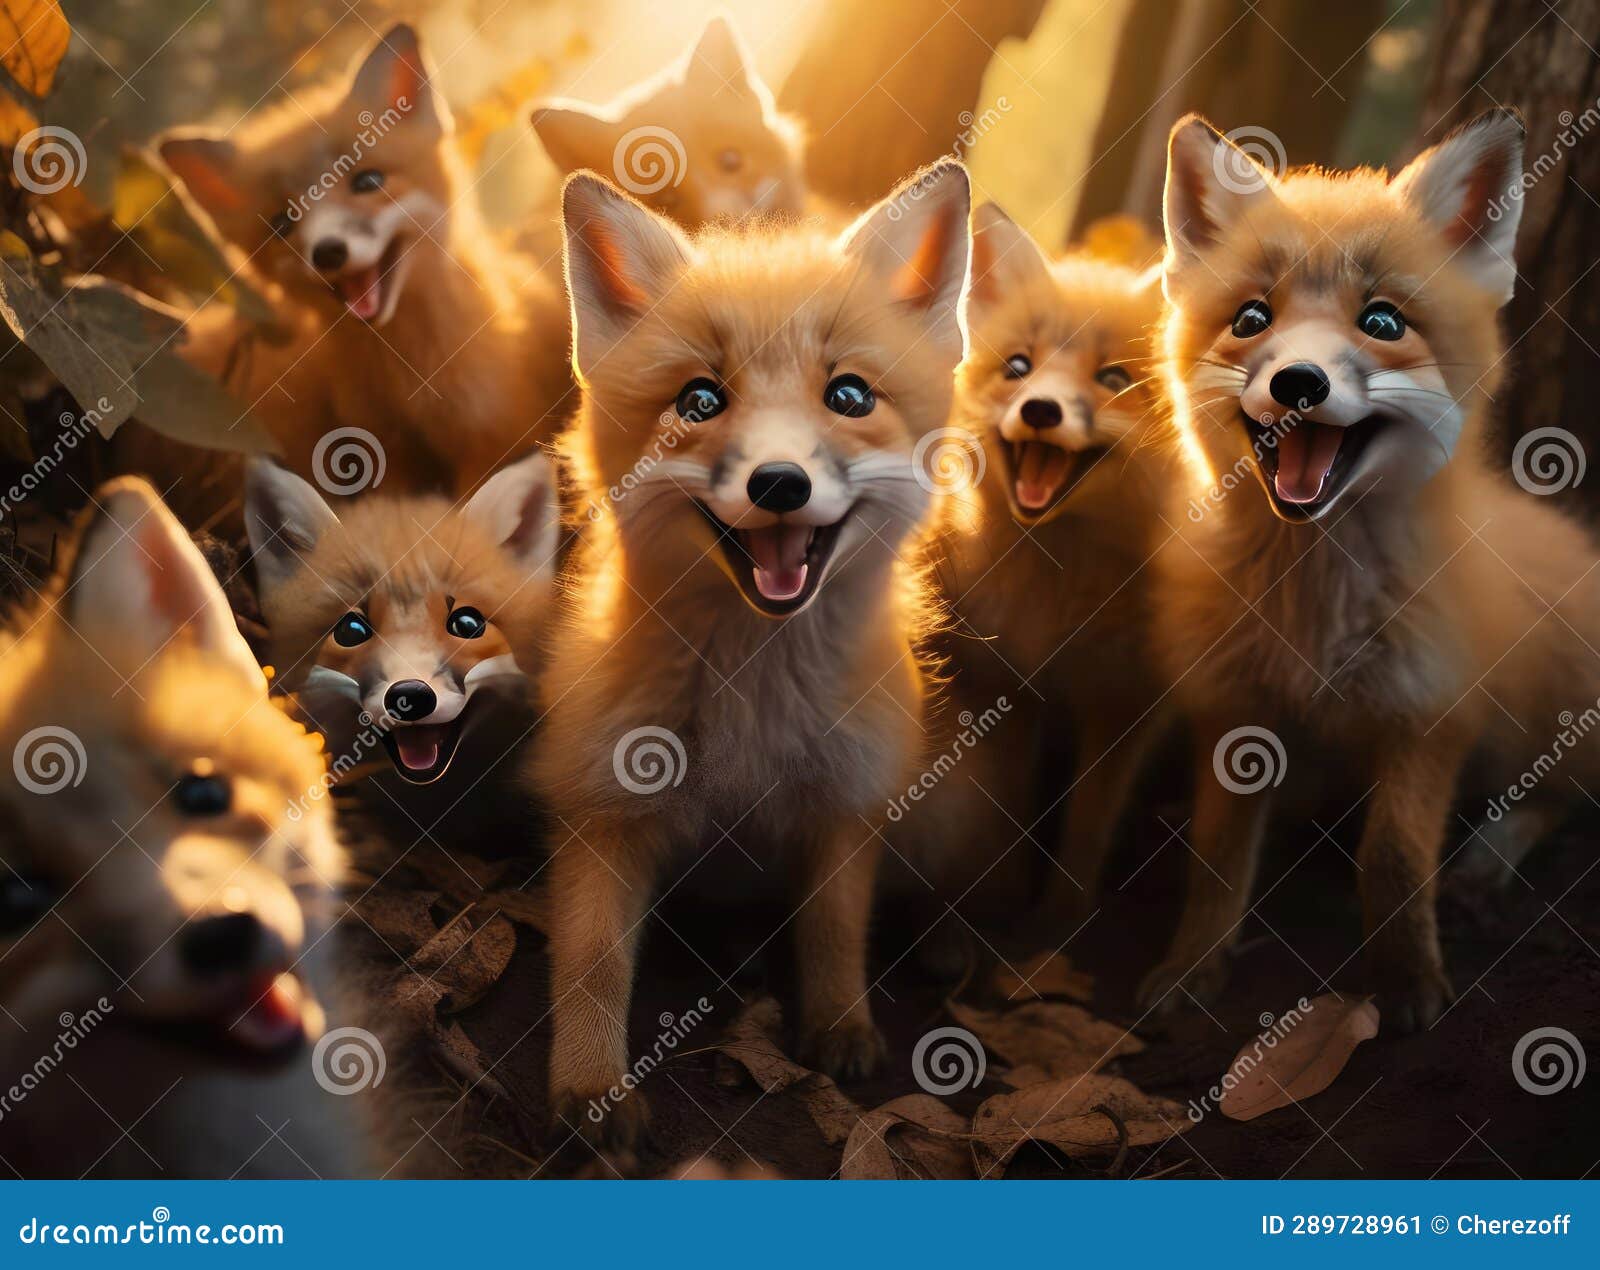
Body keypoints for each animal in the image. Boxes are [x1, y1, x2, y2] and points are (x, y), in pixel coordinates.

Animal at [157, 23, 573, 498]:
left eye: (368, 181)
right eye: (282, 221)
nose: (328, 251)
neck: (411, 385)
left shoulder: (492, 440)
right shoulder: (376, 456)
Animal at [530, 161, 972, 1160]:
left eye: (849, 397)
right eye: (699, 401)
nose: (779, 483)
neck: (754, 700)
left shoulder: (848, 802)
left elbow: (835, 930)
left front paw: (841, 1028)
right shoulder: (602, 808)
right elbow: (593, 962)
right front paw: (590, 1090)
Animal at [893, 203, 1170, 942]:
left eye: (1113, 380)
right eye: (1019, 367)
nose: (1041, 410)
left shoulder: (1126, 700)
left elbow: (1087, 832)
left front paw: (1055, 925)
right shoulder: (1006, 688)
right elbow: (1008, 818)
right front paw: (1000, 905)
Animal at [1147, 108, 1600, 1031]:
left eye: (1384, 323)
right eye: (1252, 317)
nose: (1300, 382)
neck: (1318, 610)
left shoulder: (1431, 708)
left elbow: (1391, 858)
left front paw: (1408, 984)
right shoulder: (1237, 705)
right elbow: (1219, 856)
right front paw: (1191, 968)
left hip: (1560, 702)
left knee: (1559, 793)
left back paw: (1487, 860)